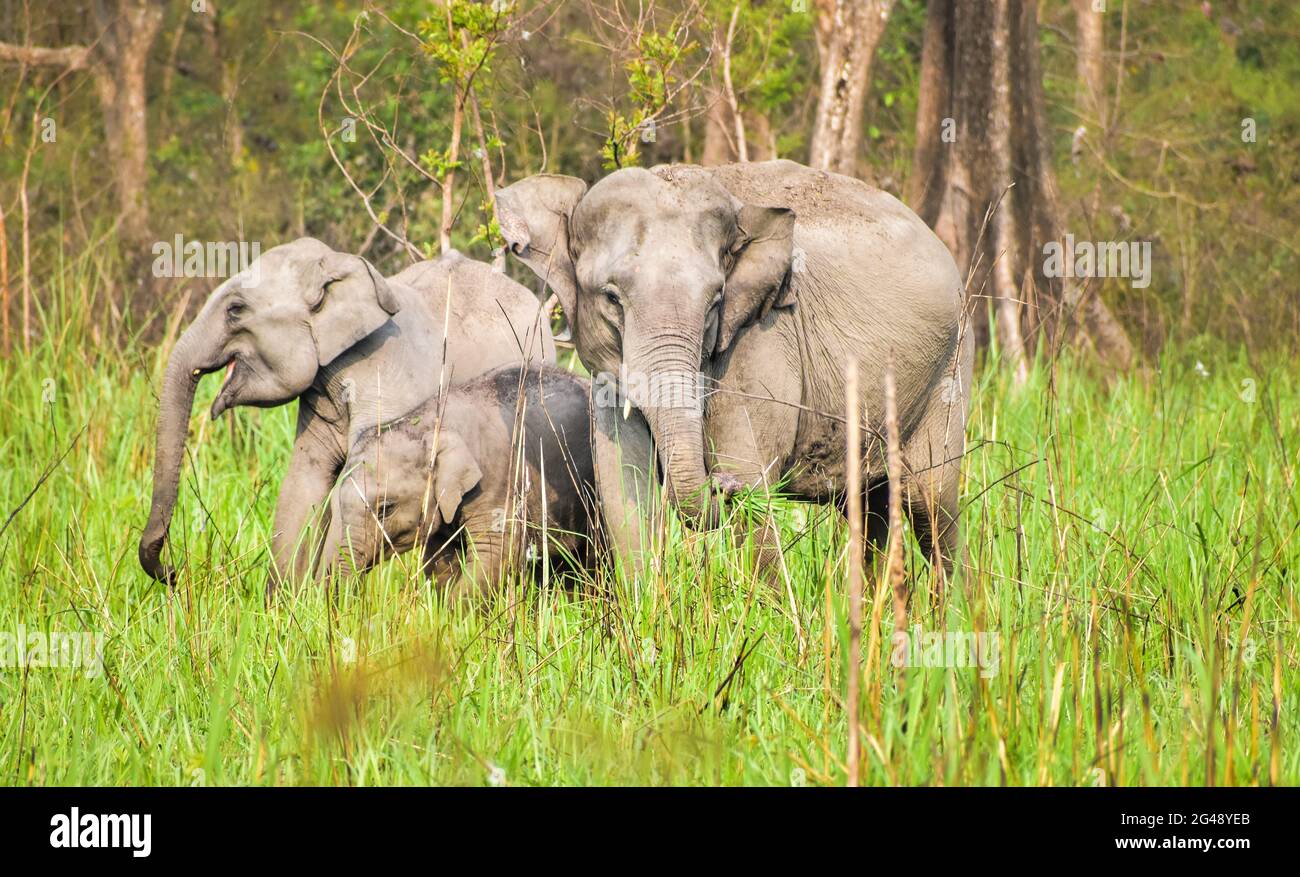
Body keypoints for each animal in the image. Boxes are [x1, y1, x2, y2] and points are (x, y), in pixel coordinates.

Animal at [138, 239, 556, 590]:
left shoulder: (388, 380)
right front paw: (285, 610)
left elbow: (358, 479)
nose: (173, 573)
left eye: (235, 310)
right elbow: (304, 479)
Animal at [495, 159, 972, 577]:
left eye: (716, 300)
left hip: (951, 367)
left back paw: (951, 612)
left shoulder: (761, 338)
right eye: (612, 297)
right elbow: (624, 489)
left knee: (931, 505)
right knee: (872, 507)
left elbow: (751, 483)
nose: (718, 483)